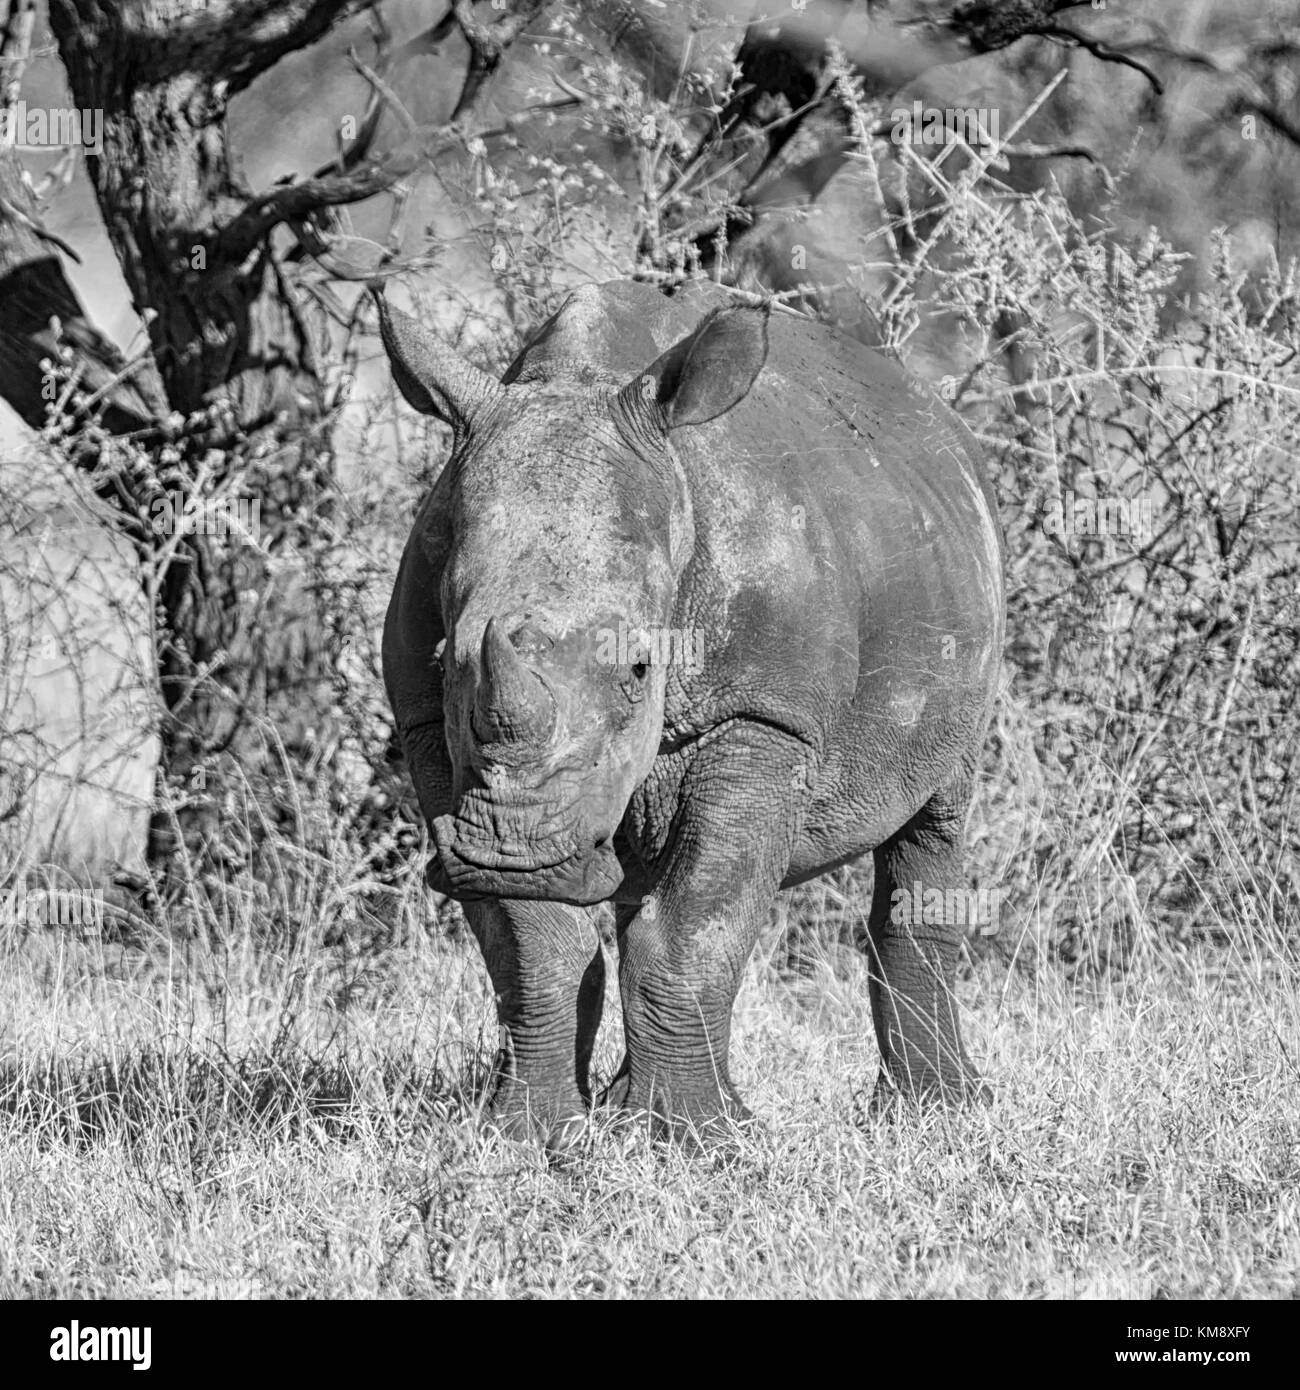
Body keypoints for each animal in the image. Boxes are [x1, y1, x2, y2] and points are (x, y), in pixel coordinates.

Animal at [377, 279, 1004, 1150]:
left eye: (640, 670)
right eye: (446, 666)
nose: (517, 857)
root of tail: (938, 418)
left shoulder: (765, 717)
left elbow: (696, 923)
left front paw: (697, 1140)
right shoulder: (432, 736)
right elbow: (536, 946)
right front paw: (531, 1133)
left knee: (934, 820)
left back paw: (938, 1111)